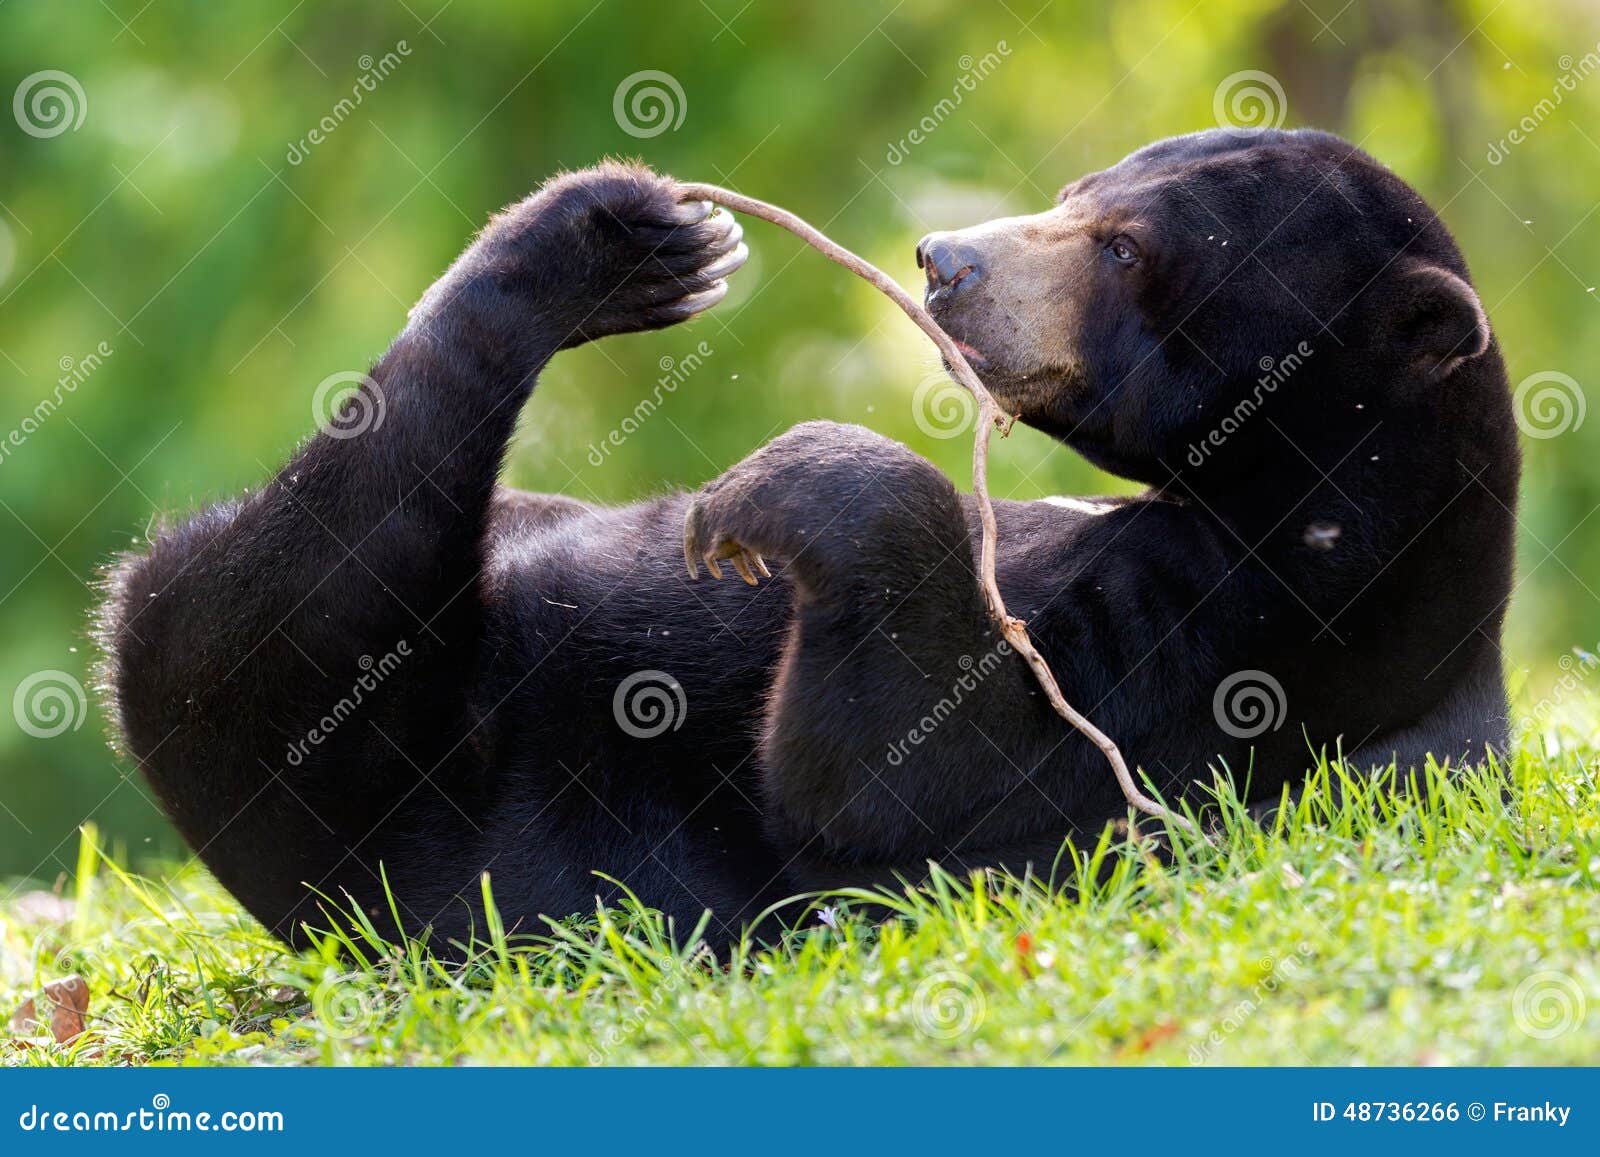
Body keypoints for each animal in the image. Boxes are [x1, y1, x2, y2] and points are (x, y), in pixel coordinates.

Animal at [97, 129, 1518, 951]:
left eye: (1123, 247)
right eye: (1076, 192)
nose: (943, 259)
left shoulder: (1239, 646)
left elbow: (909, 764)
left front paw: (778, 491)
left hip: (353, 761)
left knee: (270, 597)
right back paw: (623, 239)